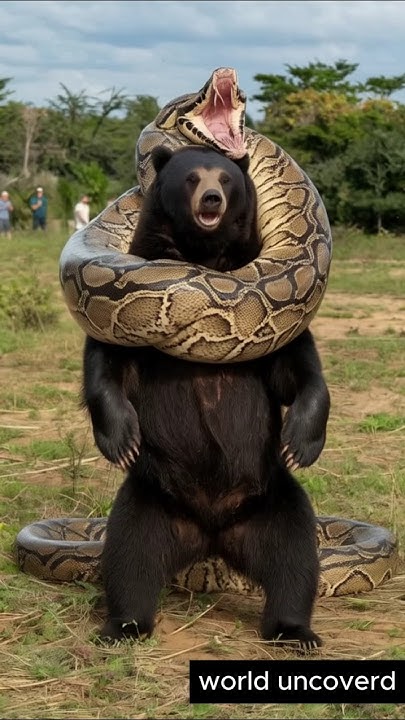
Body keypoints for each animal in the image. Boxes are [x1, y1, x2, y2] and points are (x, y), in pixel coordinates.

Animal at [82, 145, 330, 648]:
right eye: (192, 177)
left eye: (226, 179)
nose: (212, 198)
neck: (204, 257)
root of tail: (211, 534)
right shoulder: (125, 324)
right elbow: (107, 362)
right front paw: (119, 436)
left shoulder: (279, 335)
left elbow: (297, 368)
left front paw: (301, 440)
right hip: (148, 500)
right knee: (129, 559)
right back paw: (123, 625)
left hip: (274, 500)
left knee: (295, 559)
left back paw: (294, 629)